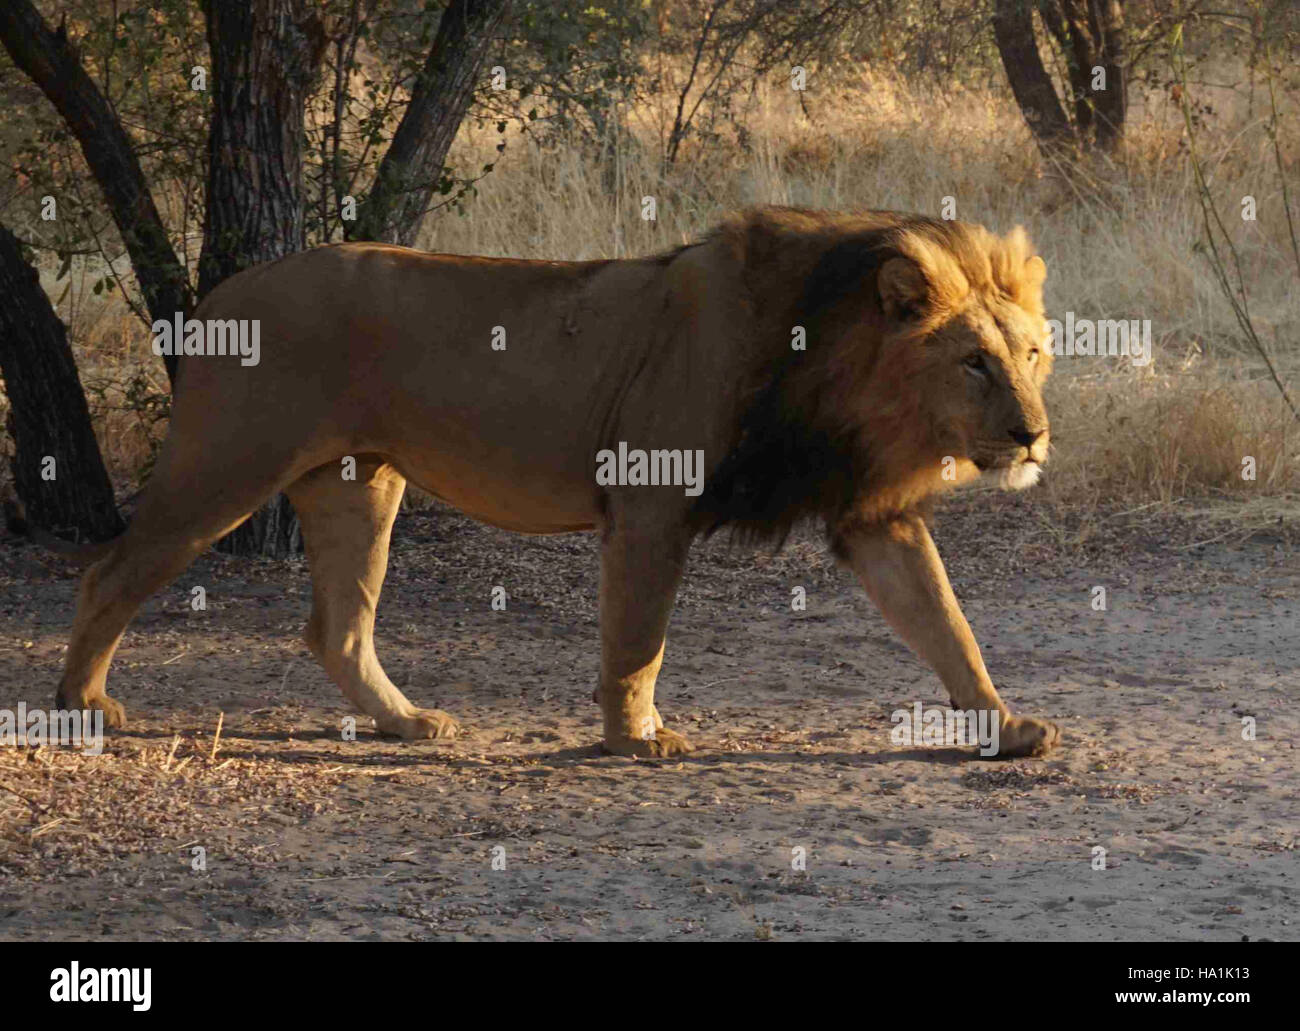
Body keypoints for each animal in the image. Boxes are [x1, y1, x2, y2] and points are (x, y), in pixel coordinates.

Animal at [40, 206, 1060, 759]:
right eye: (972, 361)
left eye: (1033, 355)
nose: (1034, 436)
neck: (842, 370)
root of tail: (217, 293)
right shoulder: (651, 500)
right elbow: (639, 641)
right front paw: (636, 738)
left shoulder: (877, 516)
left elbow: (948, 623)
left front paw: (1004, 727)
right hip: (229, 464)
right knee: (110, 572)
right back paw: (83, 705)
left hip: (359, 485)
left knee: (337, 629)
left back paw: (406, 723)